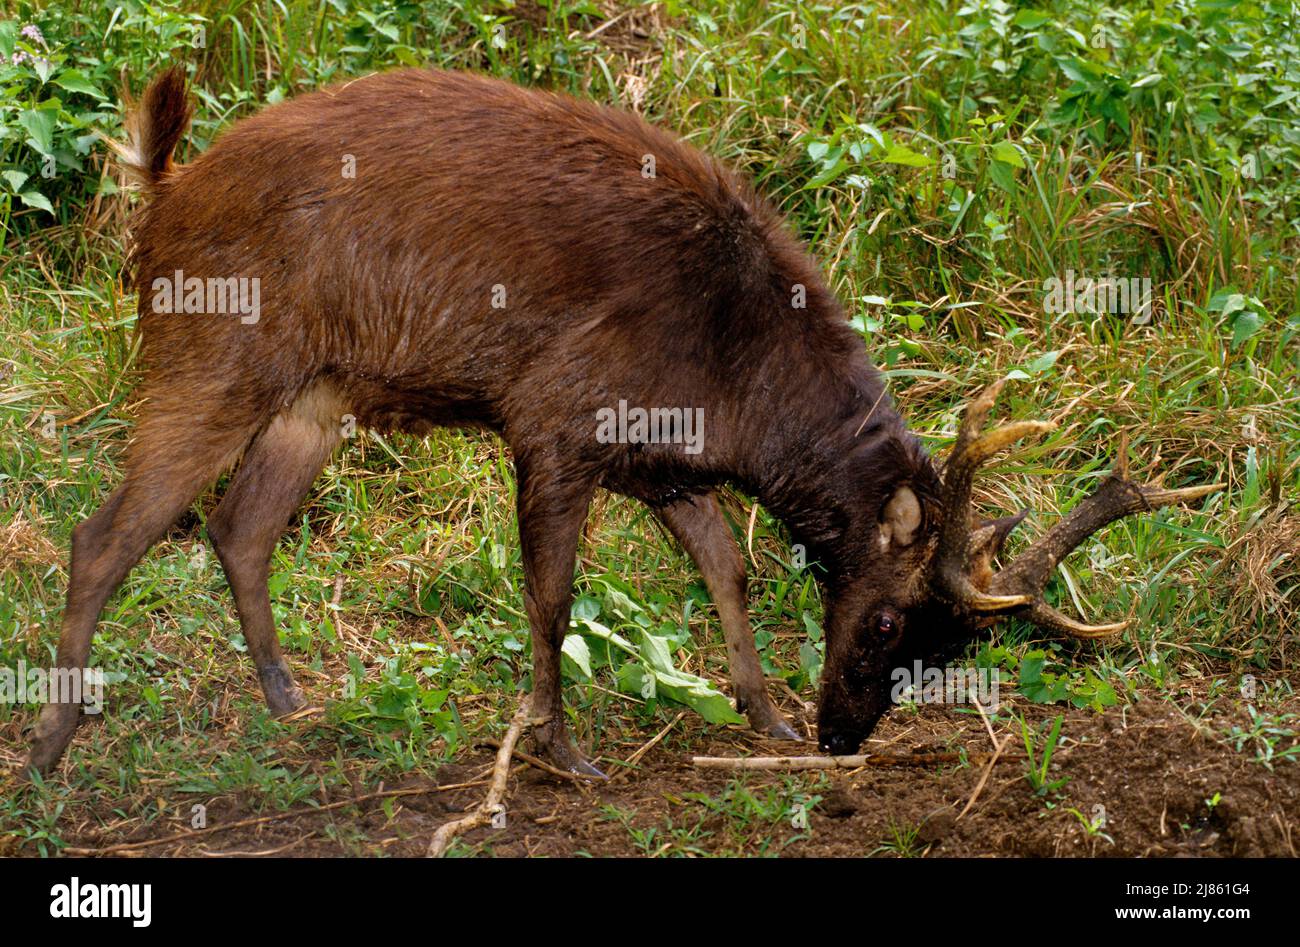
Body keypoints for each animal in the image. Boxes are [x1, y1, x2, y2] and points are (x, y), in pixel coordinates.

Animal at [25, 66, 1221, 779]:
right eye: (887, 623)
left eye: (951, 643)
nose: (842, 735)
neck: (741, 396)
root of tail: (161, 192)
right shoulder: (554, 421)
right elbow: (552, 595)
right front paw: (559, 748)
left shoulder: (662, 461)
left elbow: (727, 569)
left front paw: (760, 711)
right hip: (208, 355)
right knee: (104, 535)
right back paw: (50, 742)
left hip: (319, 394)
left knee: (239, 528)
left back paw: (289, 704)